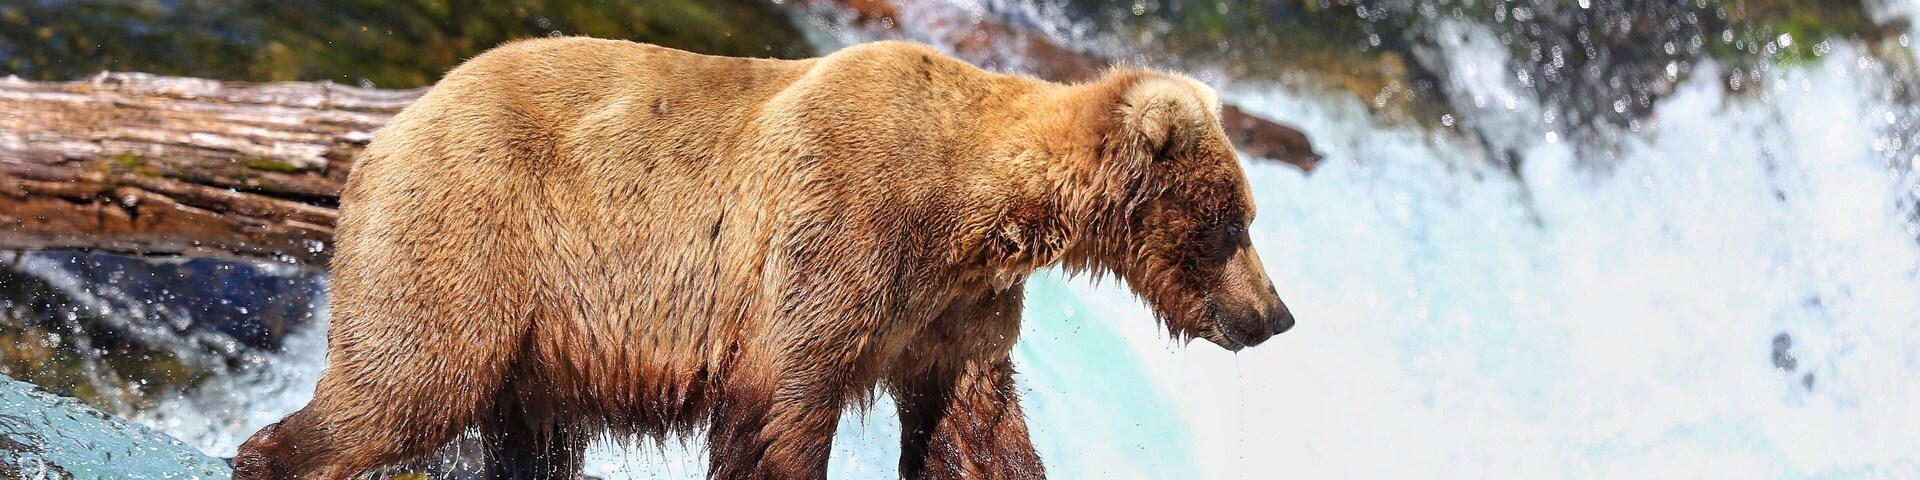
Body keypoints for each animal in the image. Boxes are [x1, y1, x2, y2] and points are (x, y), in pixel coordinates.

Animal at [233, 37, 1294, 480]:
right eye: (1235, 224)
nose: (1277, 316)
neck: (970, 205)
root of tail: (381, 135)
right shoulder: (840, 232)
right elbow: (781, 404)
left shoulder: (950, 315)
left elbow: (975, 432)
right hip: (472, 234)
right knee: (406, 385)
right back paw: (273, 456)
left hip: (537, 345)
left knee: (528, 445)